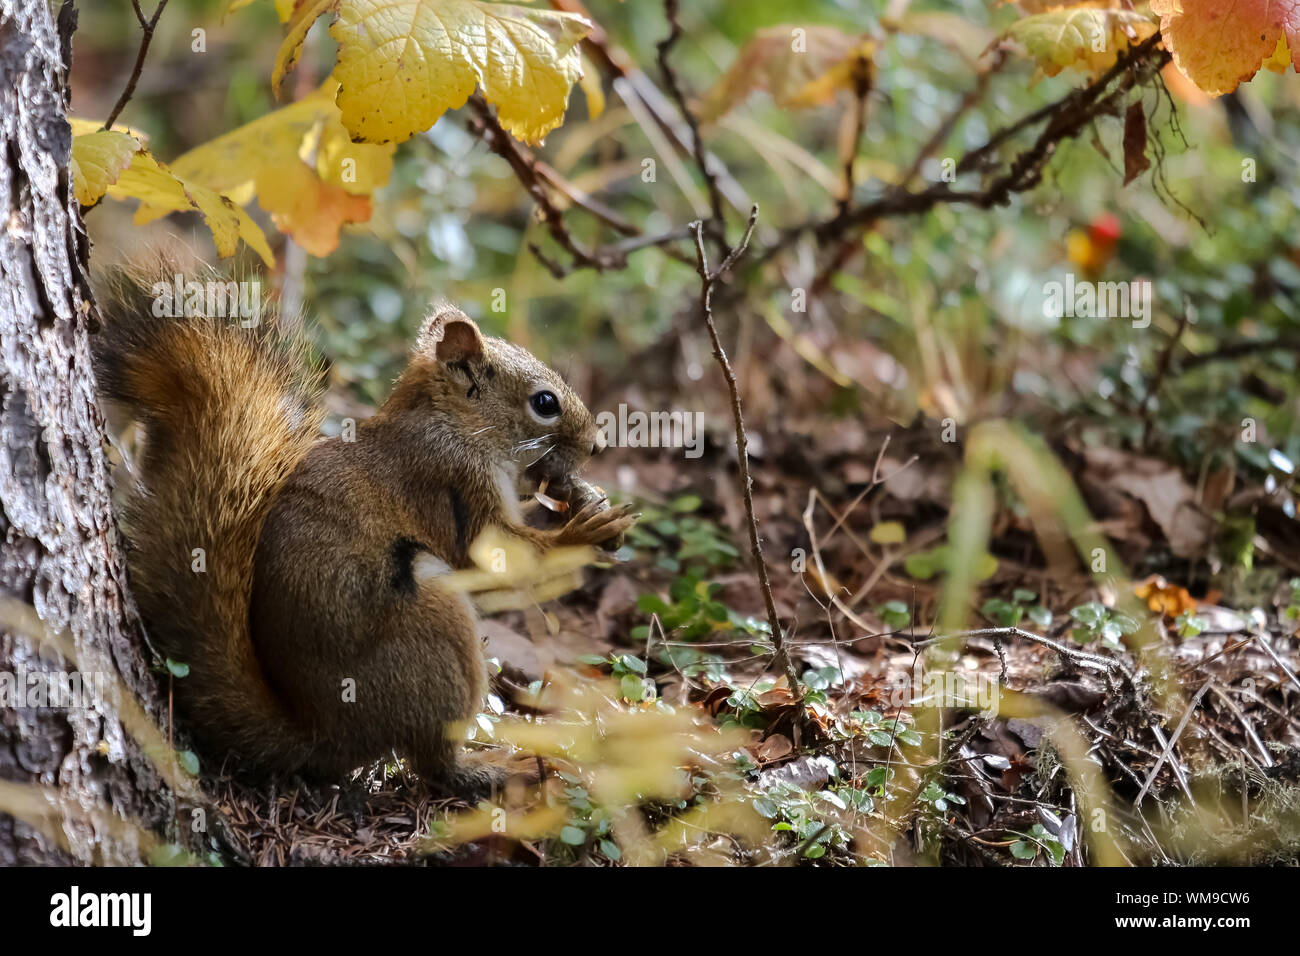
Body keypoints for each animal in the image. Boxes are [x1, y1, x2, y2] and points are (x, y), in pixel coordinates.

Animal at [92, 259, 636, 796]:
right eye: (544, 403)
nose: (596, 445)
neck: (453, 423)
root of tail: (325, 736)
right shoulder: (454, 481)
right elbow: (501, 558)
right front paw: (585, 531)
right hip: (431, 626)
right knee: (433, 764)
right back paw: (497, 768)